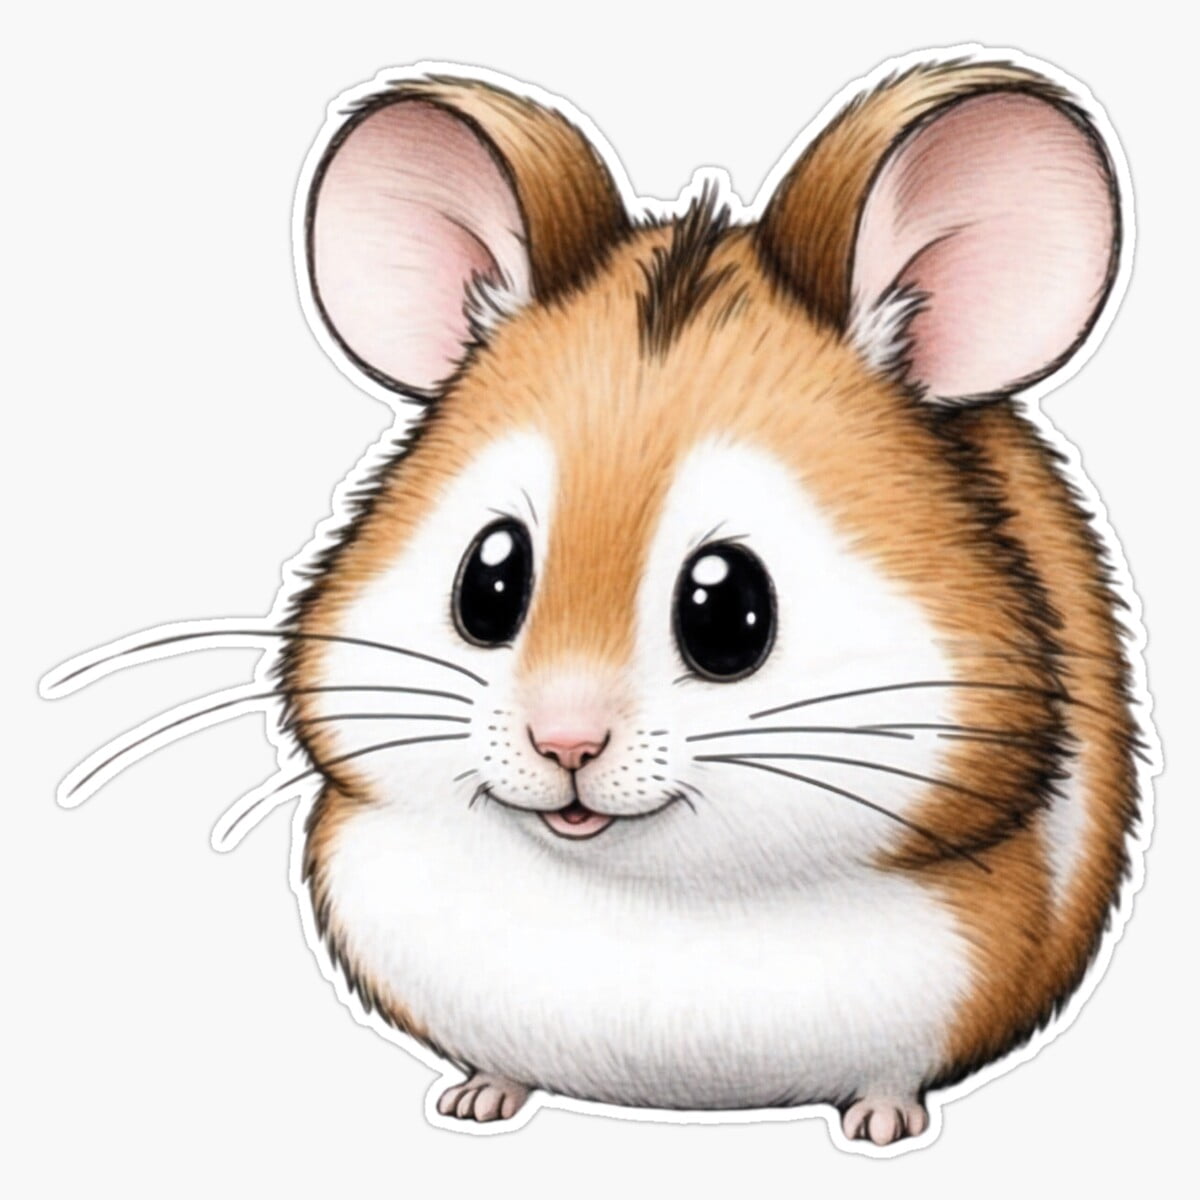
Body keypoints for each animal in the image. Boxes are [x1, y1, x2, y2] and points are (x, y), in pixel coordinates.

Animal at [48, 54, 1152, 1151]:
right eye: (489, 582)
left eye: (728, 611)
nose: (564, 743)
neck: (639, 900)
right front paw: (473, 1102)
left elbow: (895, 1072)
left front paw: (884, 1128)